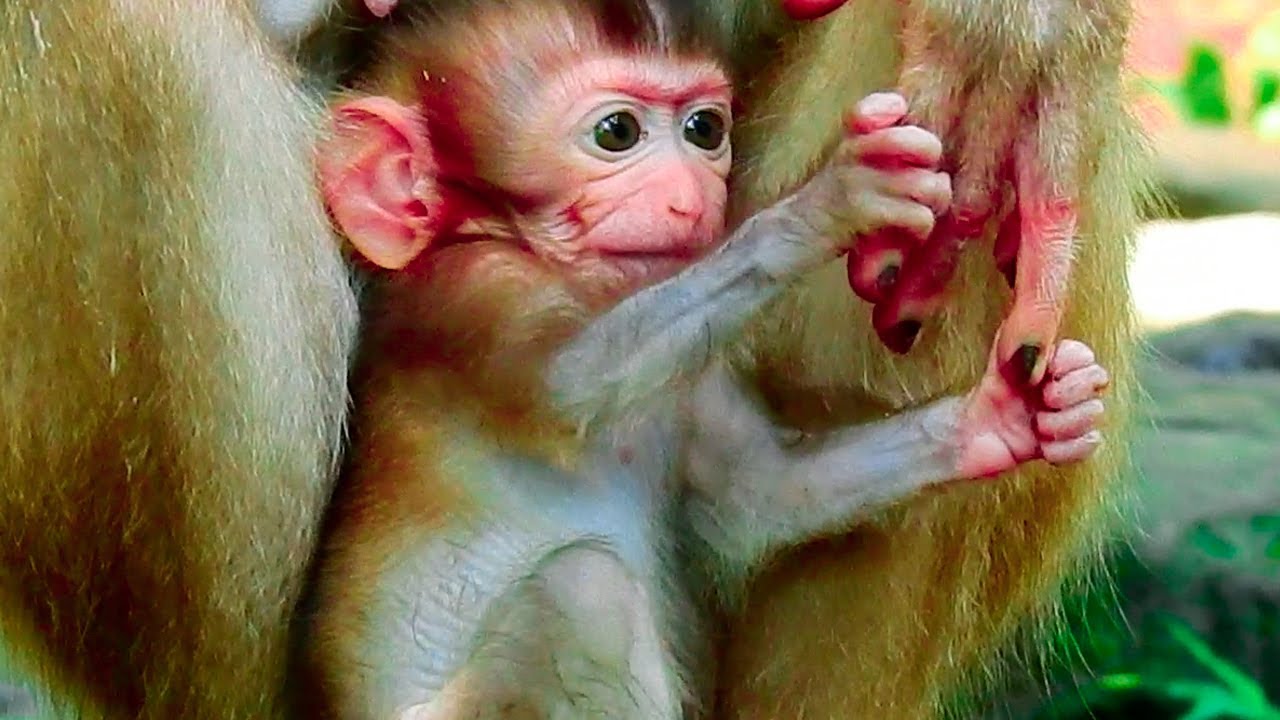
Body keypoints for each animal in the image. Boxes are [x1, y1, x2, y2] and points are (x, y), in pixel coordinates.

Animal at [0, 1, 1153, 719]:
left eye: (703, 128)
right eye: (613, 136)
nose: (691, 194)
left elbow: (752, 494)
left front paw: (1004, 418)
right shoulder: (476, 301)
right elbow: (570, 383)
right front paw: (828, 203)